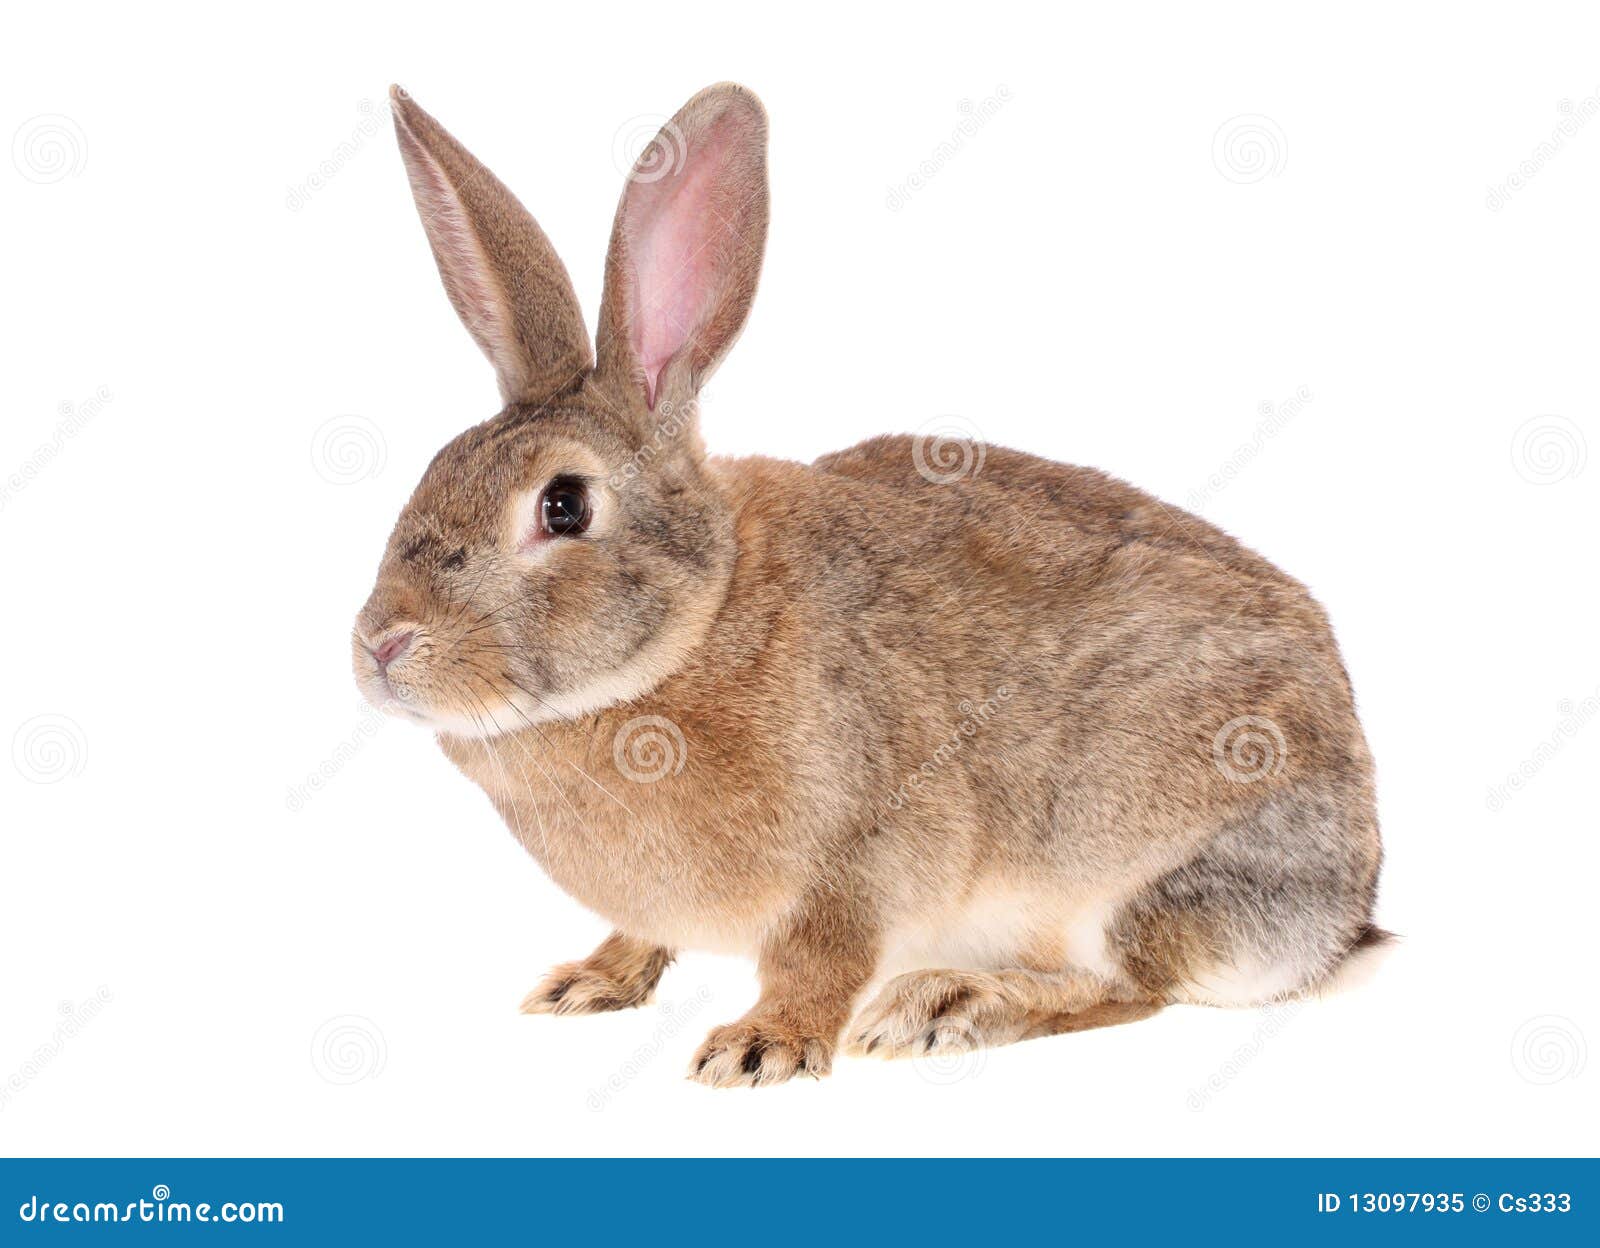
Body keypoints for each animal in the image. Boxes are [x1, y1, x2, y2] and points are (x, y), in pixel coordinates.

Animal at [353, 82, 1388, 1088]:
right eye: (433, 470)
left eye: (564, 506)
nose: (381, 646)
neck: (692, 632)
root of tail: (1346, 913)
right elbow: (641, 937)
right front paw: (589, 983)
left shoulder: (864, 855)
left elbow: (820, 957)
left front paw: (758, 1048)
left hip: (1140, 869)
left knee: (1128, 988)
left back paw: (946, 1005)